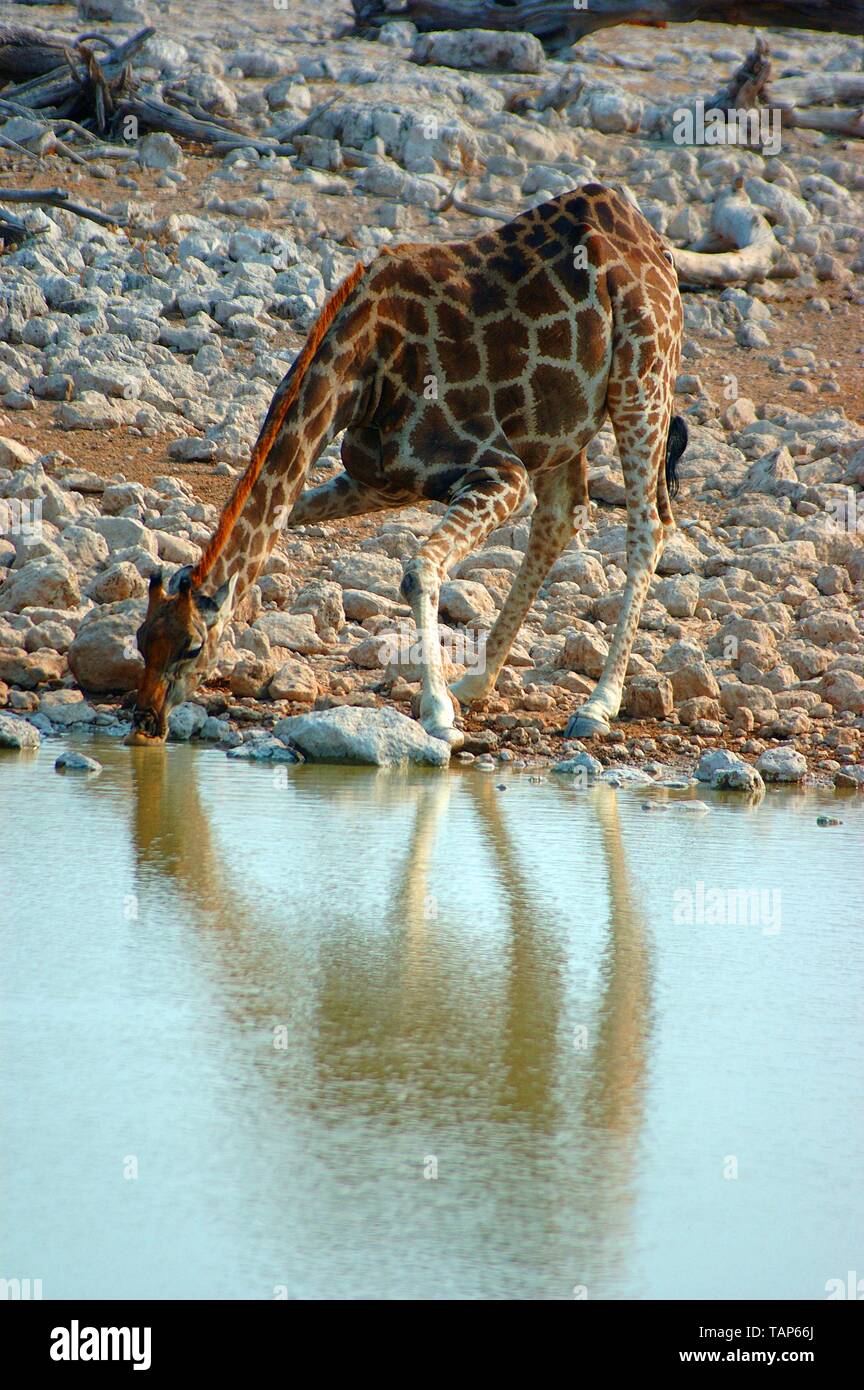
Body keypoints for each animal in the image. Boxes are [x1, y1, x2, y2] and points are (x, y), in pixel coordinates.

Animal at [128, 183, 687, 747]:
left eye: (192, 646)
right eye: (140, 638)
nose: (145, 721)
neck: (362, 375)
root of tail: (651, 239)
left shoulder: (498, 471)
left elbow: (419, 571)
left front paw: (436, 716)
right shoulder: (382, 480)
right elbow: (286, 519)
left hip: (643, 379)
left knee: (649, 525)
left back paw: (597, 705)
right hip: (558, 423)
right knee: (561, 516)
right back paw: (476, 683)